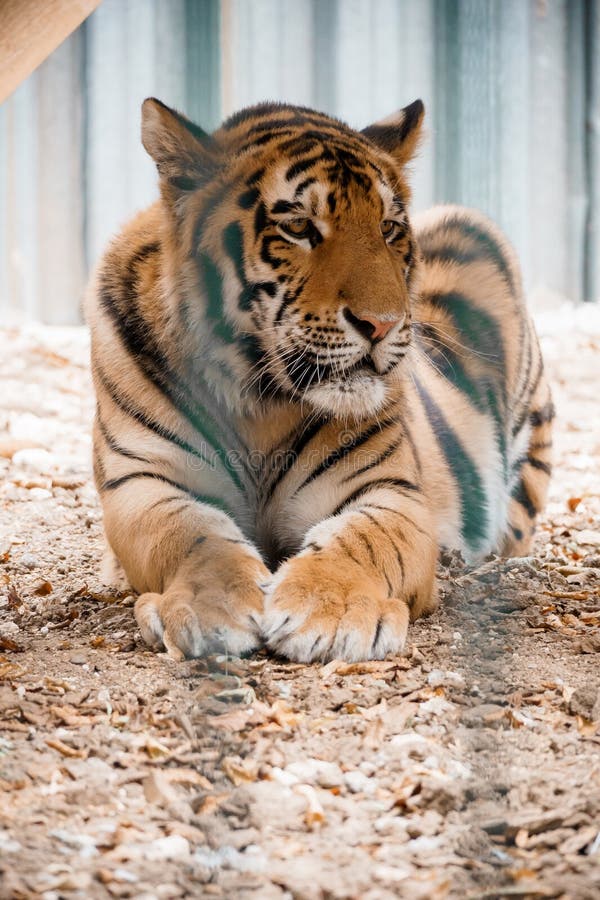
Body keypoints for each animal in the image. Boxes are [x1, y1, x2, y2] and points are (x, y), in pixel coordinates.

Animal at [85, 97, 553, 663]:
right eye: (299, 227)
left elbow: (362, 540)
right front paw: (210, 604)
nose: (383, 324)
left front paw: (333, 612)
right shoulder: (143, 479)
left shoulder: (388, 489)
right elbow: (190, 534)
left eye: (388, 227)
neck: (257, 398)